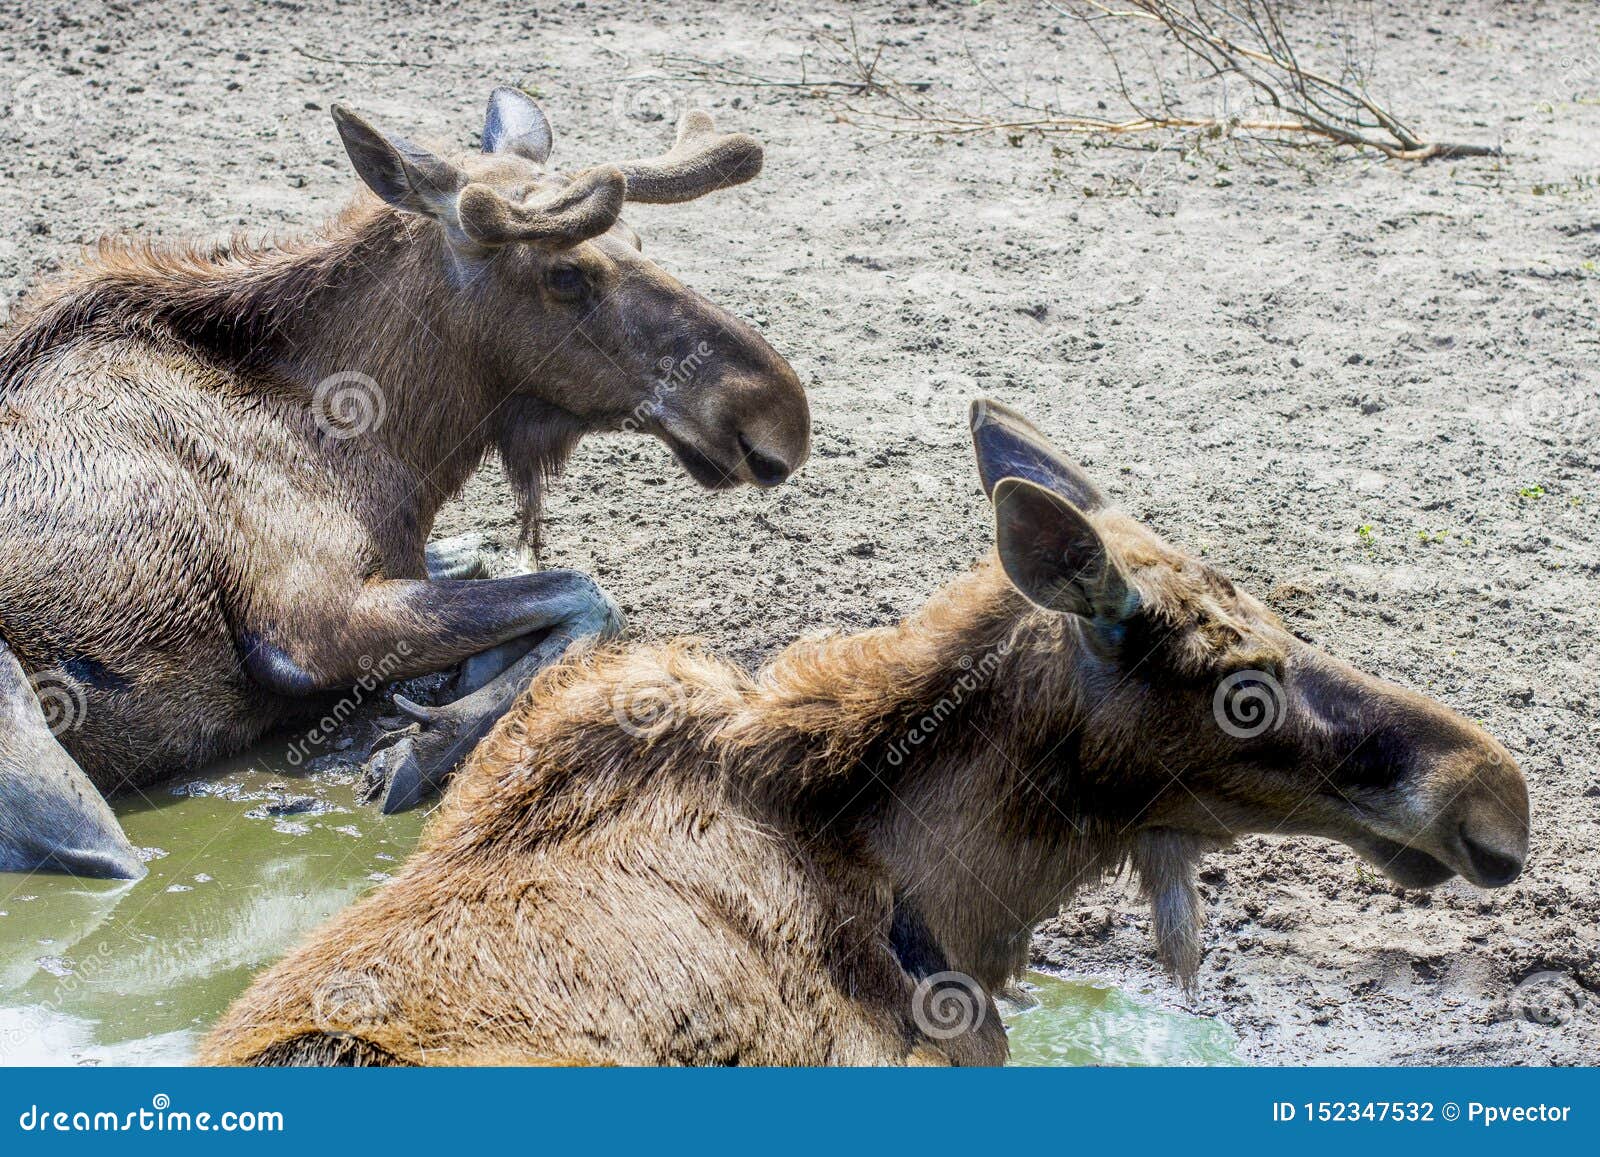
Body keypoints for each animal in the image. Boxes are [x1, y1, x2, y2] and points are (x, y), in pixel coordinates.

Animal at [0, 87, 810, 879]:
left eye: (638, 244)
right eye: (567, 275)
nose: (780, 414)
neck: (384, 445)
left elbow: (497, 561)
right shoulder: (308, 625)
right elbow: (588, 592)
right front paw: (421, 744)